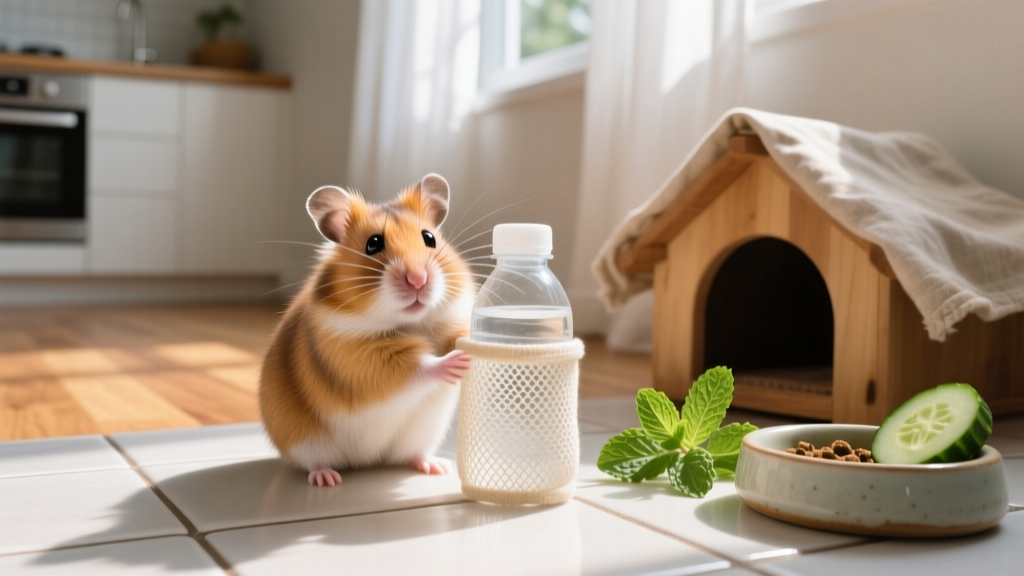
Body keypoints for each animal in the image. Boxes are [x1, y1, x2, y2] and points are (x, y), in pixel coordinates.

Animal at [259, 173, 475, 487]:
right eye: (373, 244)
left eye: (429, 238)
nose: (418, 280)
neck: (412, 323)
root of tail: (367, 461)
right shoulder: (360, 359)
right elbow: (419, 366)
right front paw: (459, 361)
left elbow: (457, 336)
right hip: (302, 439)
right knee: (313, 462)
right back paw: (327, 479)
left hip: (422, 434)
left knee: (412, 455)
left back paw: (436, 466)